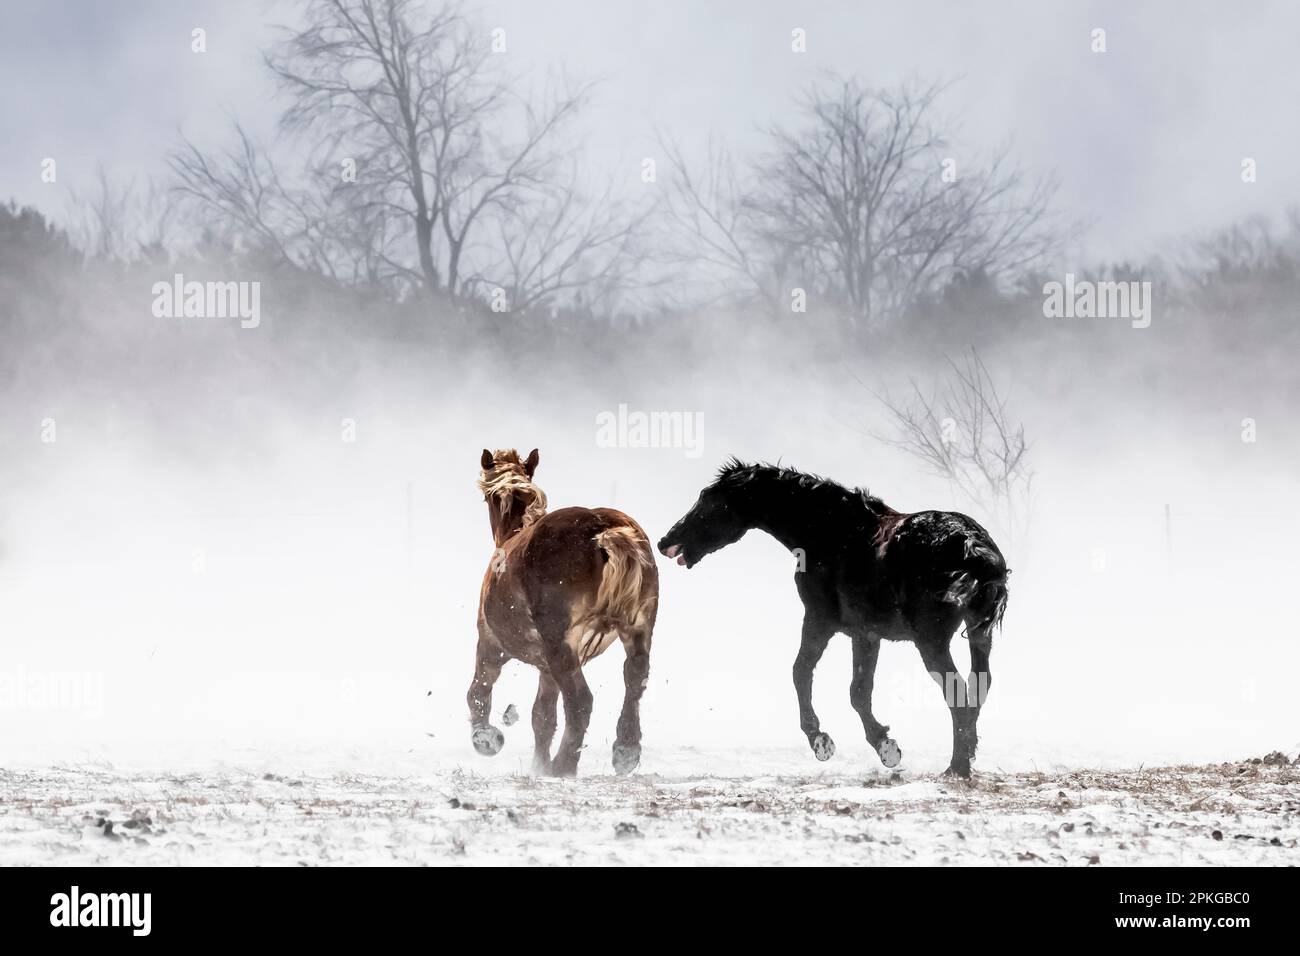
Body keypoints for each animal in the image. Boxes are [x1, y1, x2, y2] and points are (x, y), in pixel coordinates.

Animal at [470, 448, 659, 776]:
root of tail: (604, 531)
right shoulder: (546, 668)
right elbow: (543, 717)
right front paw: (539, 765)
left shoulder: (490, 646)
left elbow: (478, 695)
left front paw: (487, 739)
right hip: (637, 630)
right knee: (634, 679)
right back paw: (625, 751)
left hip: (562, 647)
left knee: (581, 701)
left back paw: (564, 764)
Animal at [657, 458, 1008, 778]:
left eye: (709, 501)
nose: (666, 542)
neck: (835, 534)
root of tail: (972, 546)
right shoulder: (866, 634)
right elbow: (859, 692)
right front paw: (885, 746)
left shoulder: (819, 621)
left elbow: (801, 672)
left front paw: (822, 741)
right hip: (979, 635)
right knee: (979, 685)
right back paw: (967, 756)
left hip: (931, 641)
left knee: (957, 692)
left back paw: (956, 768)